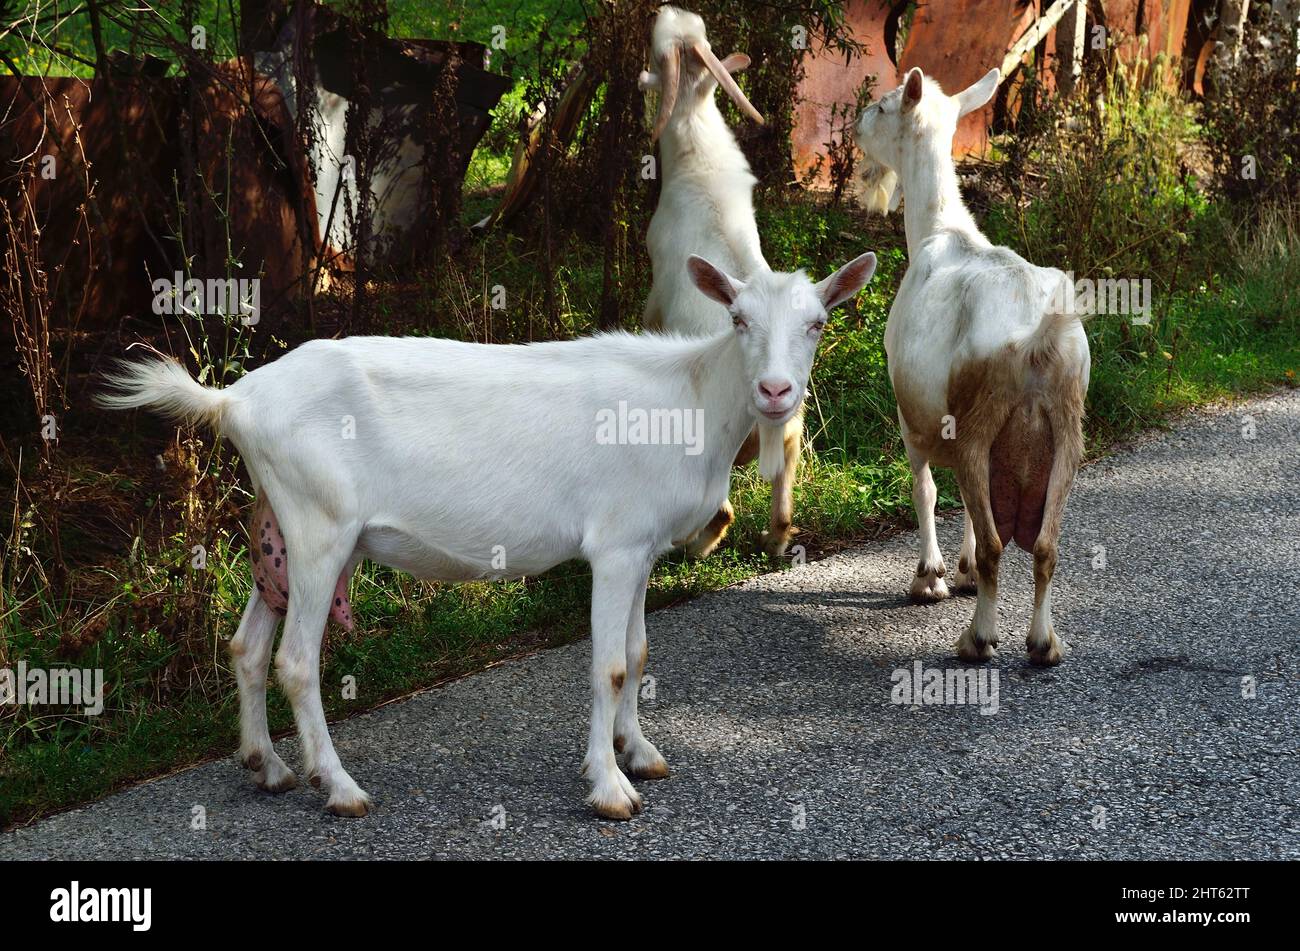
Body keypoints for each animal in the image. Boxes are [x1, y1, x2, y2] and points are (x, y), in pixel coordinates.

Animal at [98, 252, 877, 819]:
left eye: (817, 322)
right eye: (739, 318)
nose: (775, 391)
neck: (689, 399)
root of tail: (234, 400)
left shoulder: (644, 547)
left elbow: (638, 650)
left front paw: (641, 752)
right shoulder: (616, 544)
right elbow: (610, 664)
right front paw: (609, 789)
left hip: (281, 531)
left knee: (248, 646)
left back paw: (268, 766)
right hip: (321, 528)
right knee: (294, 659)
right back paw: (340, 787)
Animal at [639, 6, 806, 561]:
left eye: (657, 52)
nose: (662, 9)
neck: (698, 161)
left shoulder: (656, 287)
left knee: (722, 508)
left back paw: (693, 546)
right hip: (790, 424)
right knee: (787, 465)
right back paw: (777, 537)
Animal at [854, 67, 1090, 666]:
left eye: (882, 106)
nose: (855, 123)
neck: (941, 232)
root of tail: (1036, 341)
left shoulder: (911, 415)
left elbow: (926, 491)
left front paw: (930, 577)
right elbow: (960, 497)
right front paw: (955, 574)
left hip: (980, 424)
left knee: (994, 544)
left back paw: (978, 637)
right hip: (1067, 429)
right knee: (1045, 545)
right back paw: (1043, 642)